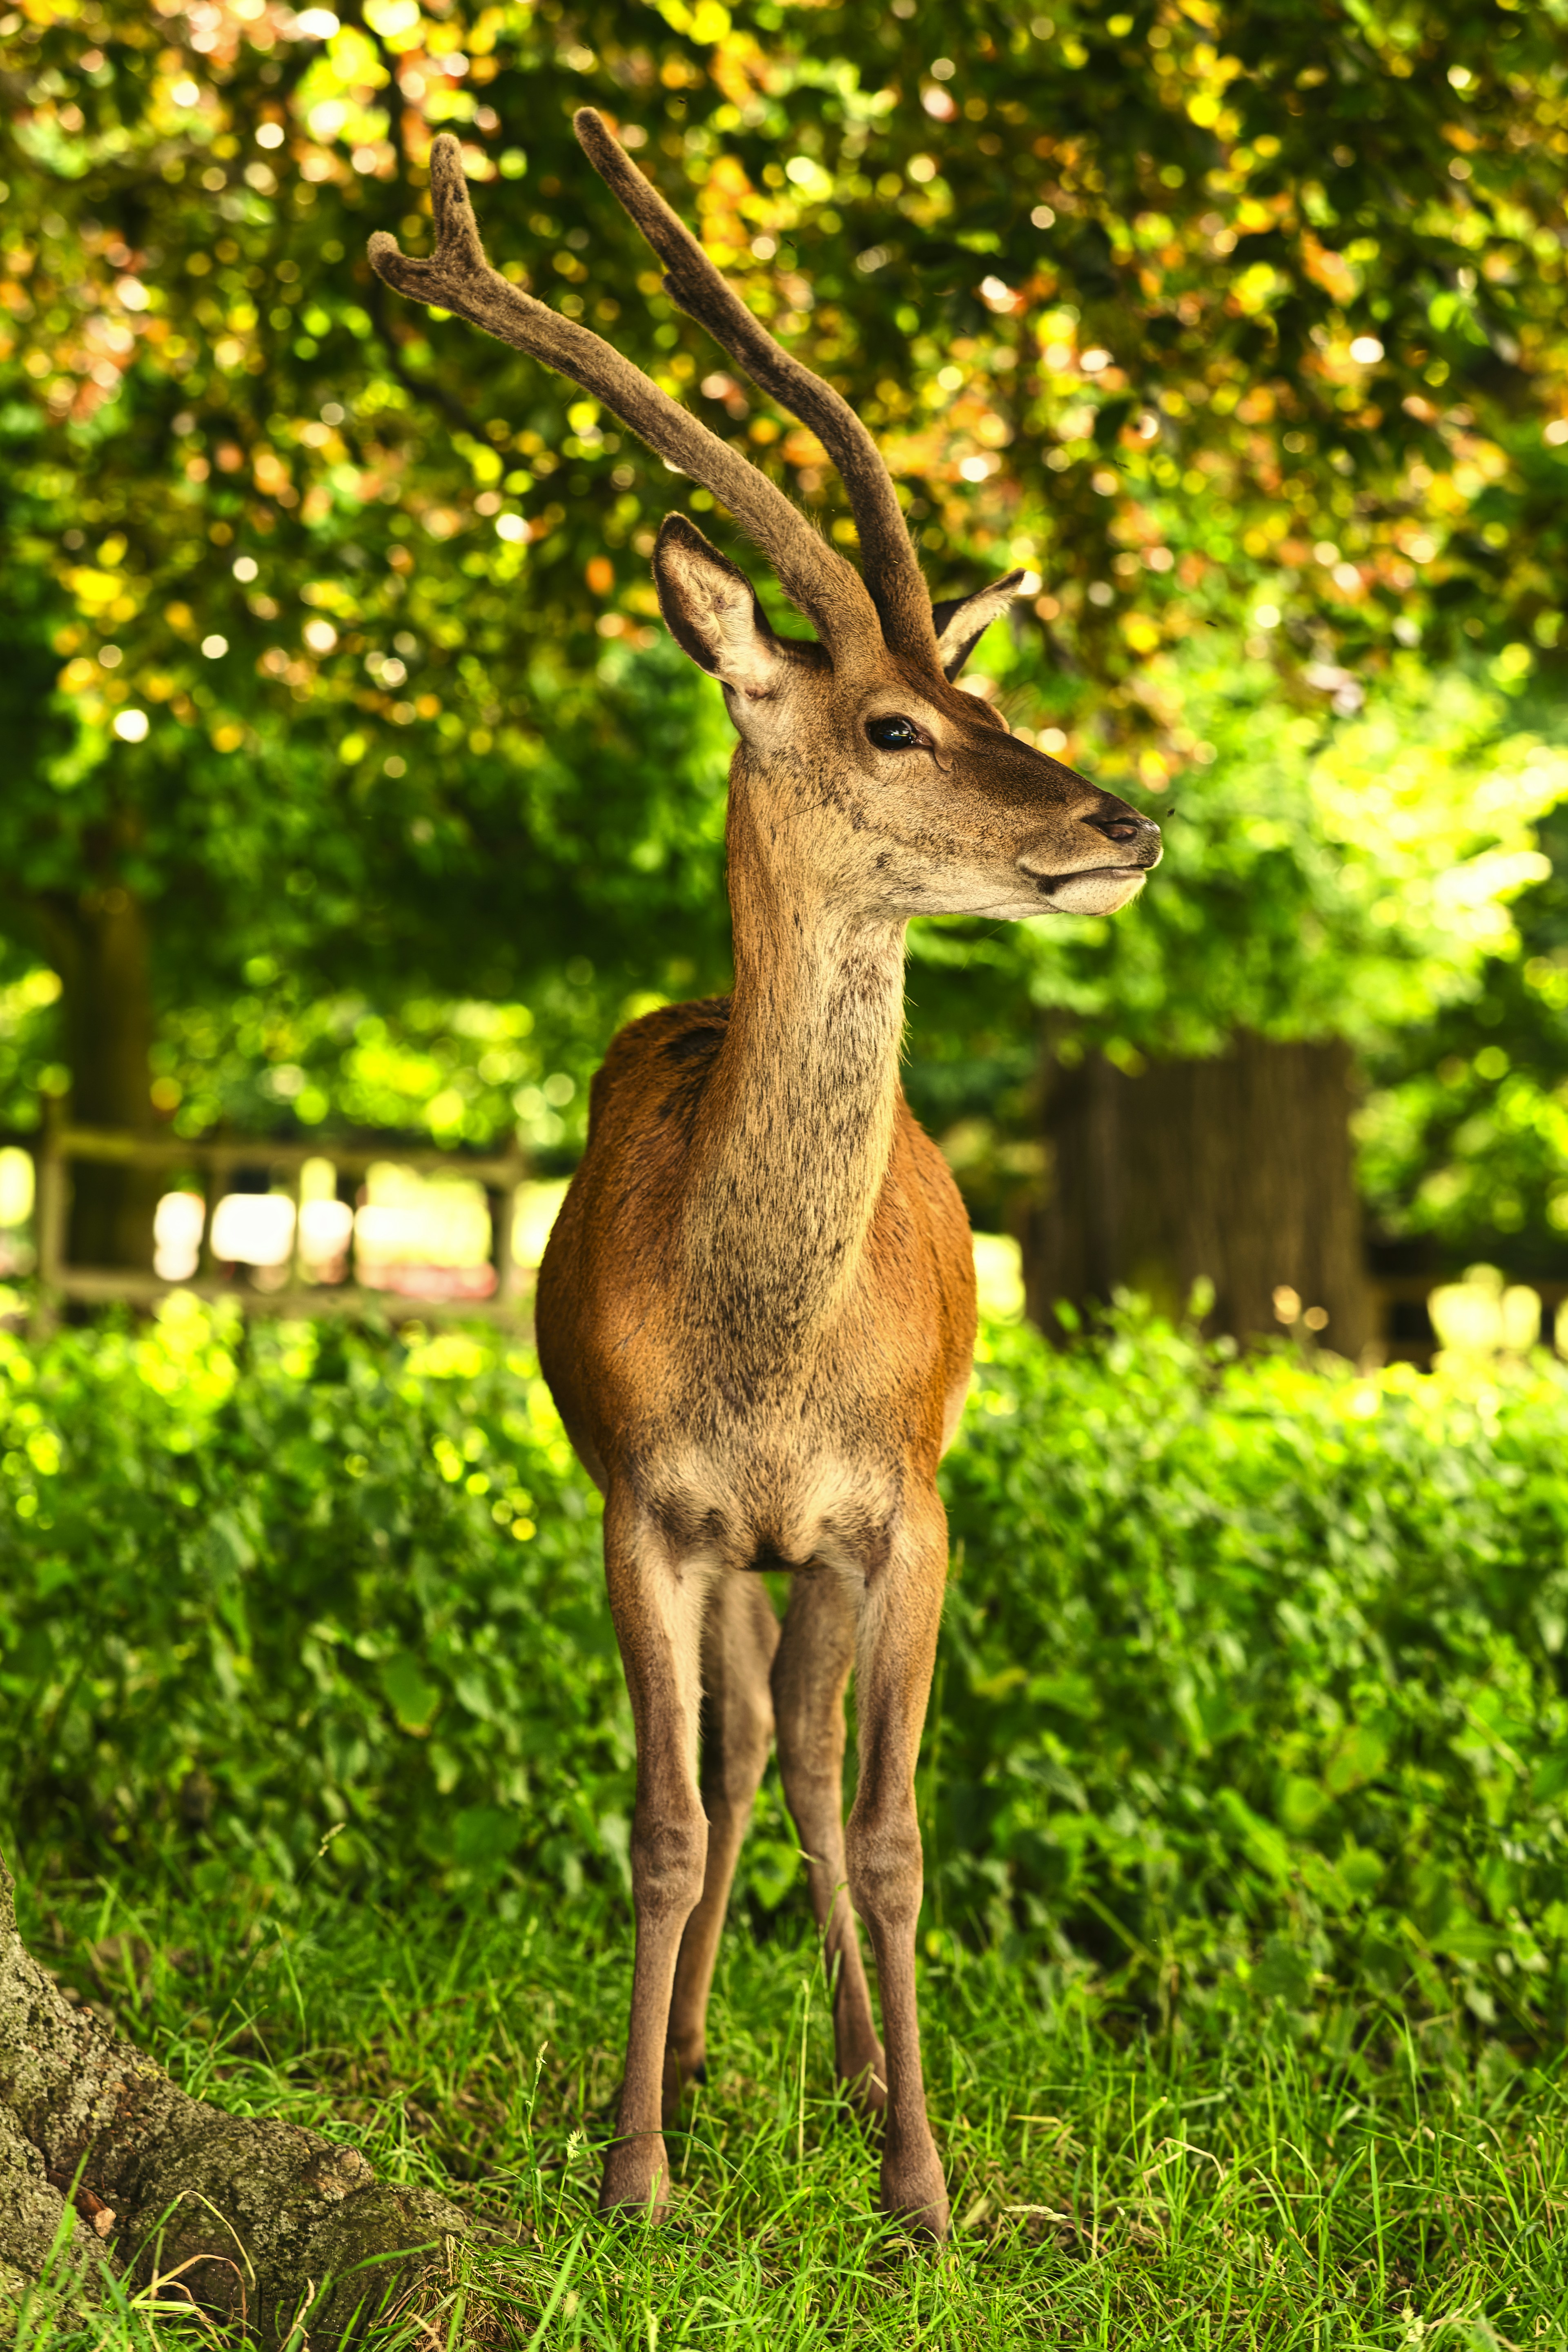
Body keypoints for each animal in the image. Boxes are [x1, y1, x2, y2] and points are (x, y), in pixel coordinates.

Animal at [369, 118, 1160, 2239]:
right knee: (739, 1768)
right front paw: (635, 2168)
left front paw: (925, 2192)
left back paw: (856, 2066)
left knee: (803, 1768)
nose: (1127, 819)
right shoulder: (644, 1500)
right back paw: (708, 2055)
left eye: (986, 702)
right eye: (896, 722)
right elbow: (657, 1814)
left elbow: (890, 1832)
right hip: (734, 1555)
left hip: (825, 1552)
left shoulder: (909, 1501)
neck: (769, 1358)